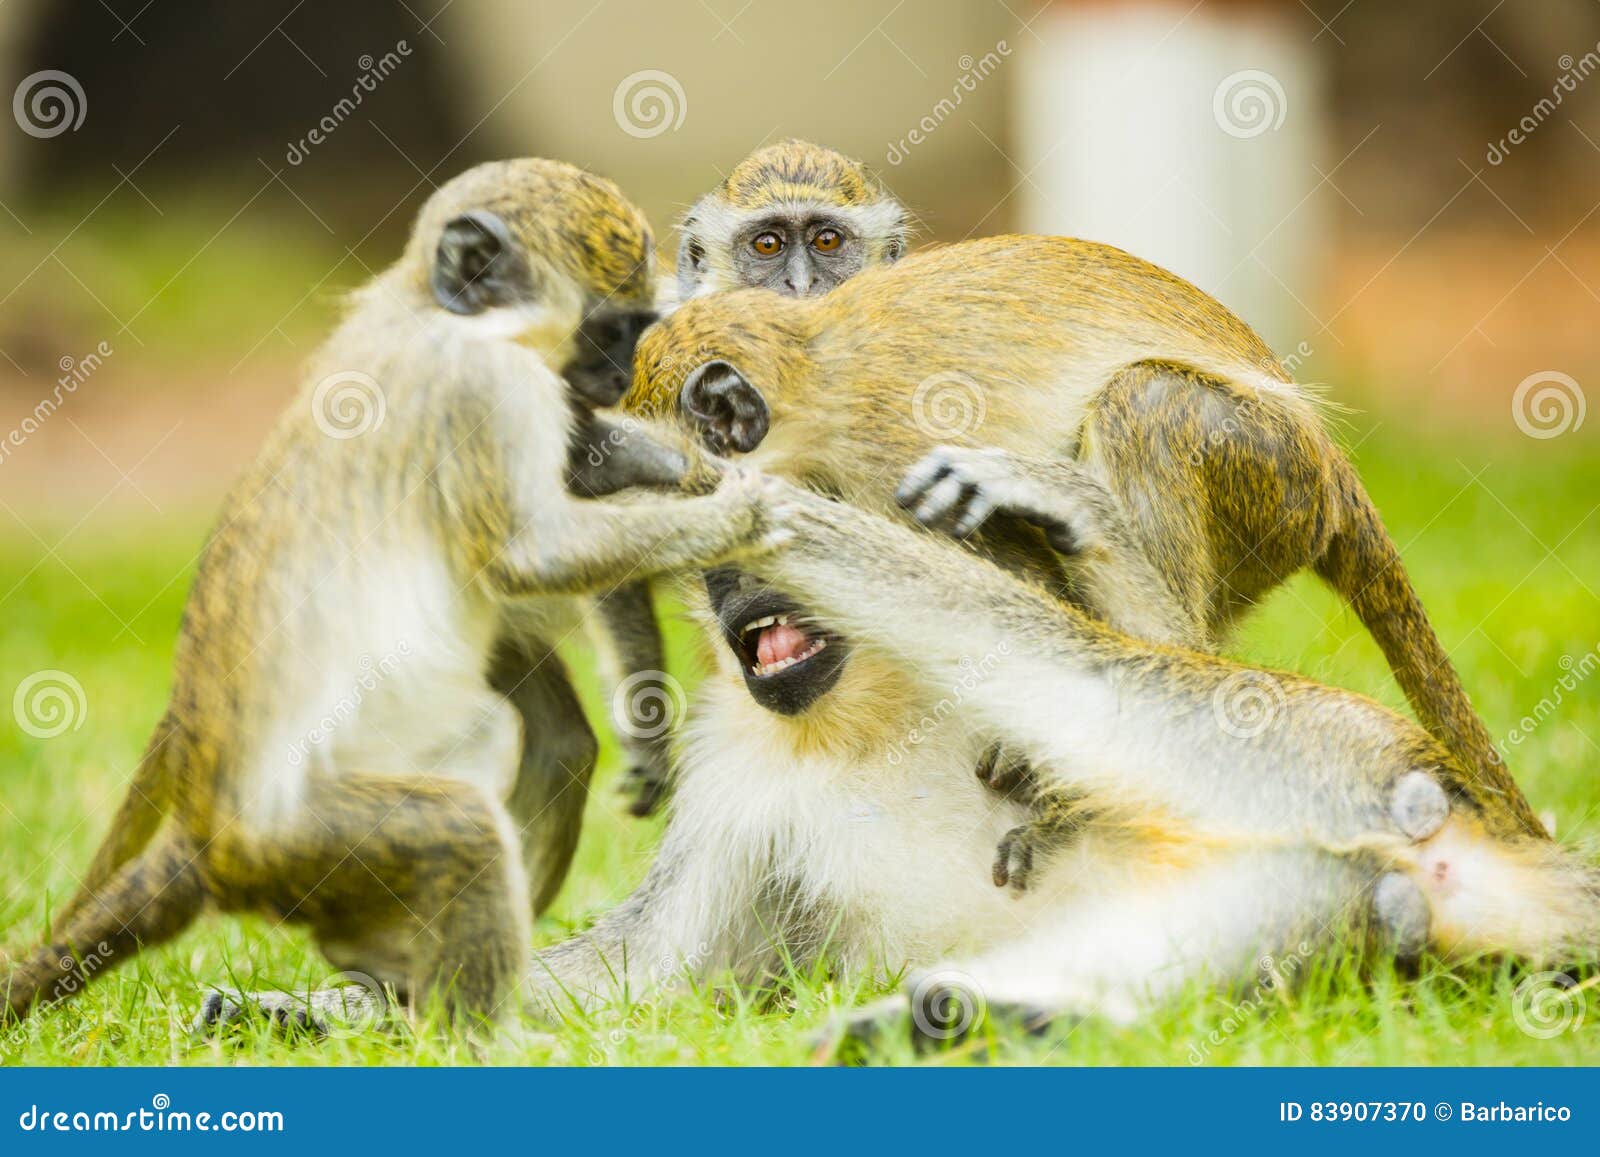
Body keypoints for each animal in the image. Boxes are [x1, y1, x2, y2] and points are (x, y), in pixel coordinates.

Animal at [1, 158, 774, 1029]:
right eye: (610, 329)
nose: (615, 377)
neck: (428, 312)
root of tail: (203, 832)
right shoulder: (486, 387)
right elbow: (533, 552)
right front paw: (735, 506)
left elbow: (578, 463)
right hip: (298, 841)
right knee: (461, 824)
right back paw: (466, 1028)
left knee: (550, 744)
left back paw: (382, 988)